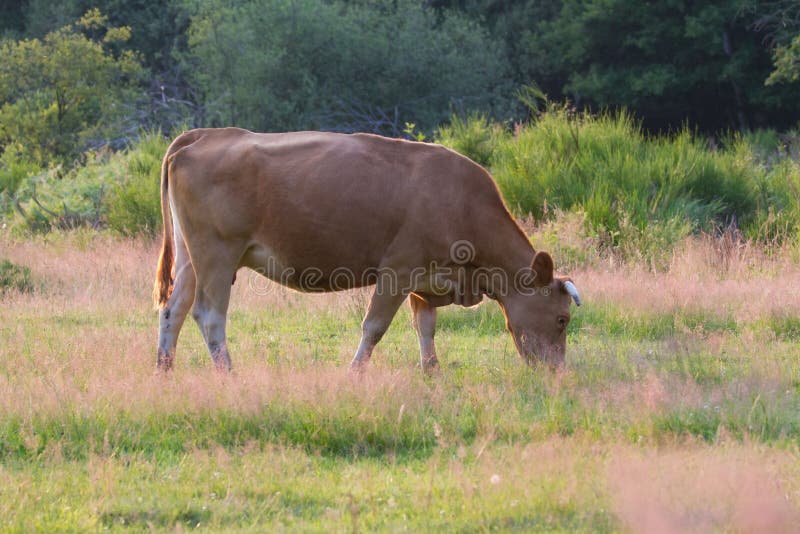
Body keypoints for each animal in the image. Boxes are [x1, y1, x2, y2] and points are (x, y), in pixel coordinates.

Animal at [153, 128, 581, 372]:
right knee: (209, 316)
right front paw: (355, 373)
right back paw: (228, 373)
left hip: (192, 257)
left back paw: (164, 370)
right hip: (218, 252)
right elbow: (374, 326)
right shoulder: (399, 268)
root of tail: (206, 135)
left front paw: (432, 374)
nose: (557, 372)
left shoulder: (426, 280)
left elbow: (425, 328)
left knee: (173, 311)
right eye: (562, 320)